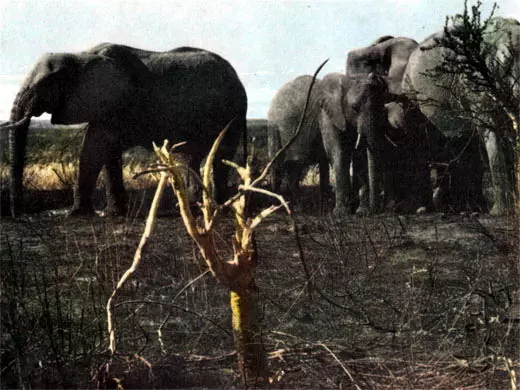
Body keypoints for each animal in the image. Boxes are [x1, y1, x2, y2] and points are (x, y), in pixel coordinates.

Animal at [1, 45, 248, 219]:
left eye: (46, 83)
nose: (20, 216)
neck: (80, 56)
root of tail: (237, 76)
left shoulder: (116, 103)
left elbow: (94, 147)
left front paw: (74, 214)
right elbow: (107, 152)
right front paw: (113, 213)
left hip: (233, 112)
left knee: (219, 155)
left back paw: (216, 208)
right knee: (192, 157)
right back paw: (195, 208)